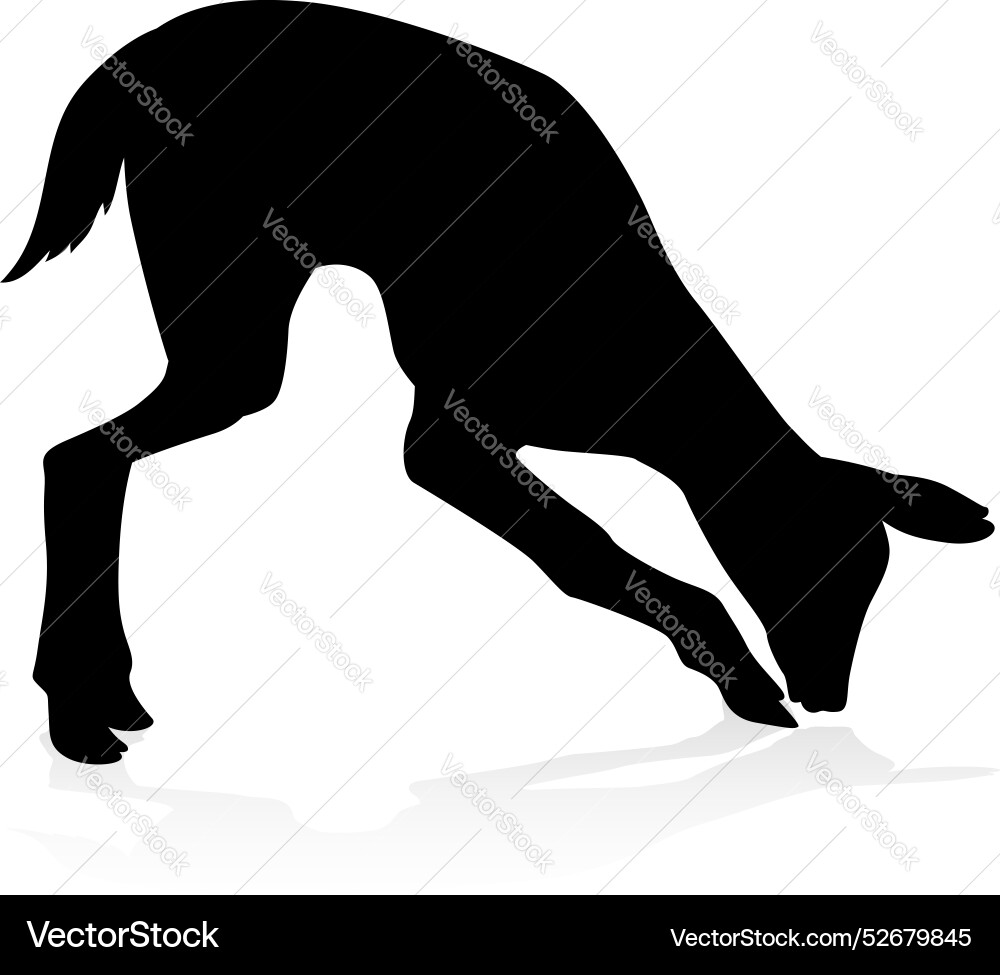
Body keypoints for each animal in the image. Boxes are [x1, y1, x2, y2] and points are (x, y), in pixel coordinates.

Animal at [3, 1, 992, 764]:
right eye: (828, 562)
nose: (827, 695)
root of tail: (120, 65)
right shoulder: (448, 426)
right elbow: (581, 547)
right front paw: (738, 674)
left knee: (83, 454)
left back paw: (103, 698)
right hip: (228, 317)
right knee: (78, 453)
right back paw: (79, 716)